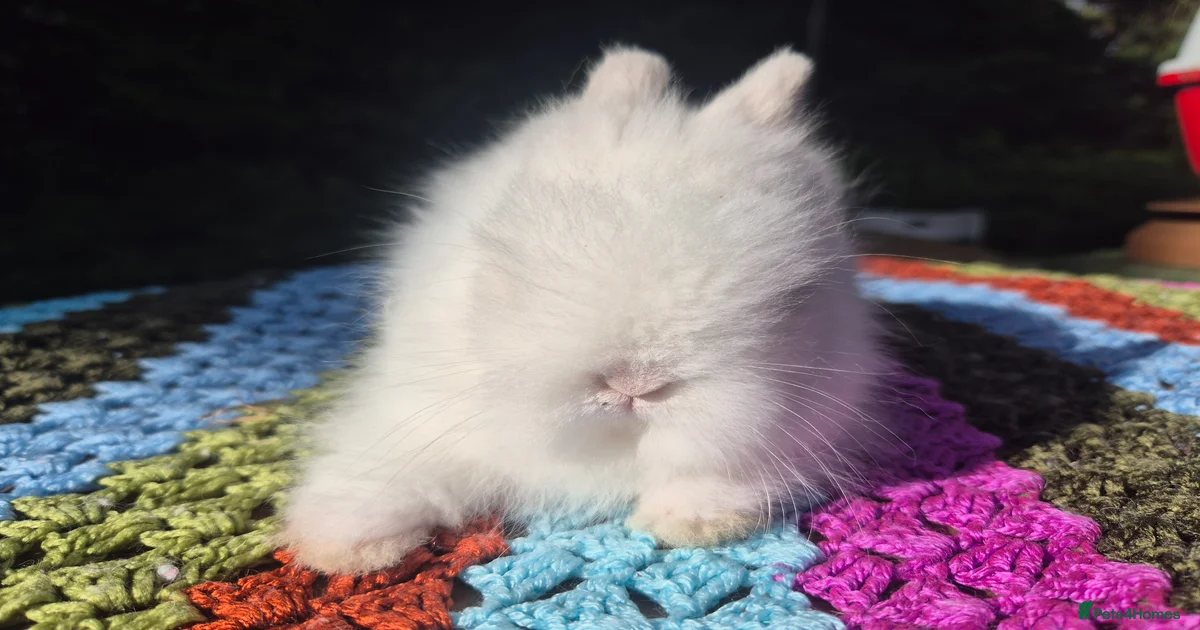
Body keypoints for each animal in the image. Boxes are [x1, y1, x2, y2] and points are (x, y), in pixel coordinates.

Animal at [278, 45, 888, 574]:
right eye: (501, 264)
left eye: (795, 296)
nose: (633, 384)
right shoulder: (416, 405)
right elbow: (390, 464)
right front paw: (344, 545)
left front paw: (690, 522)